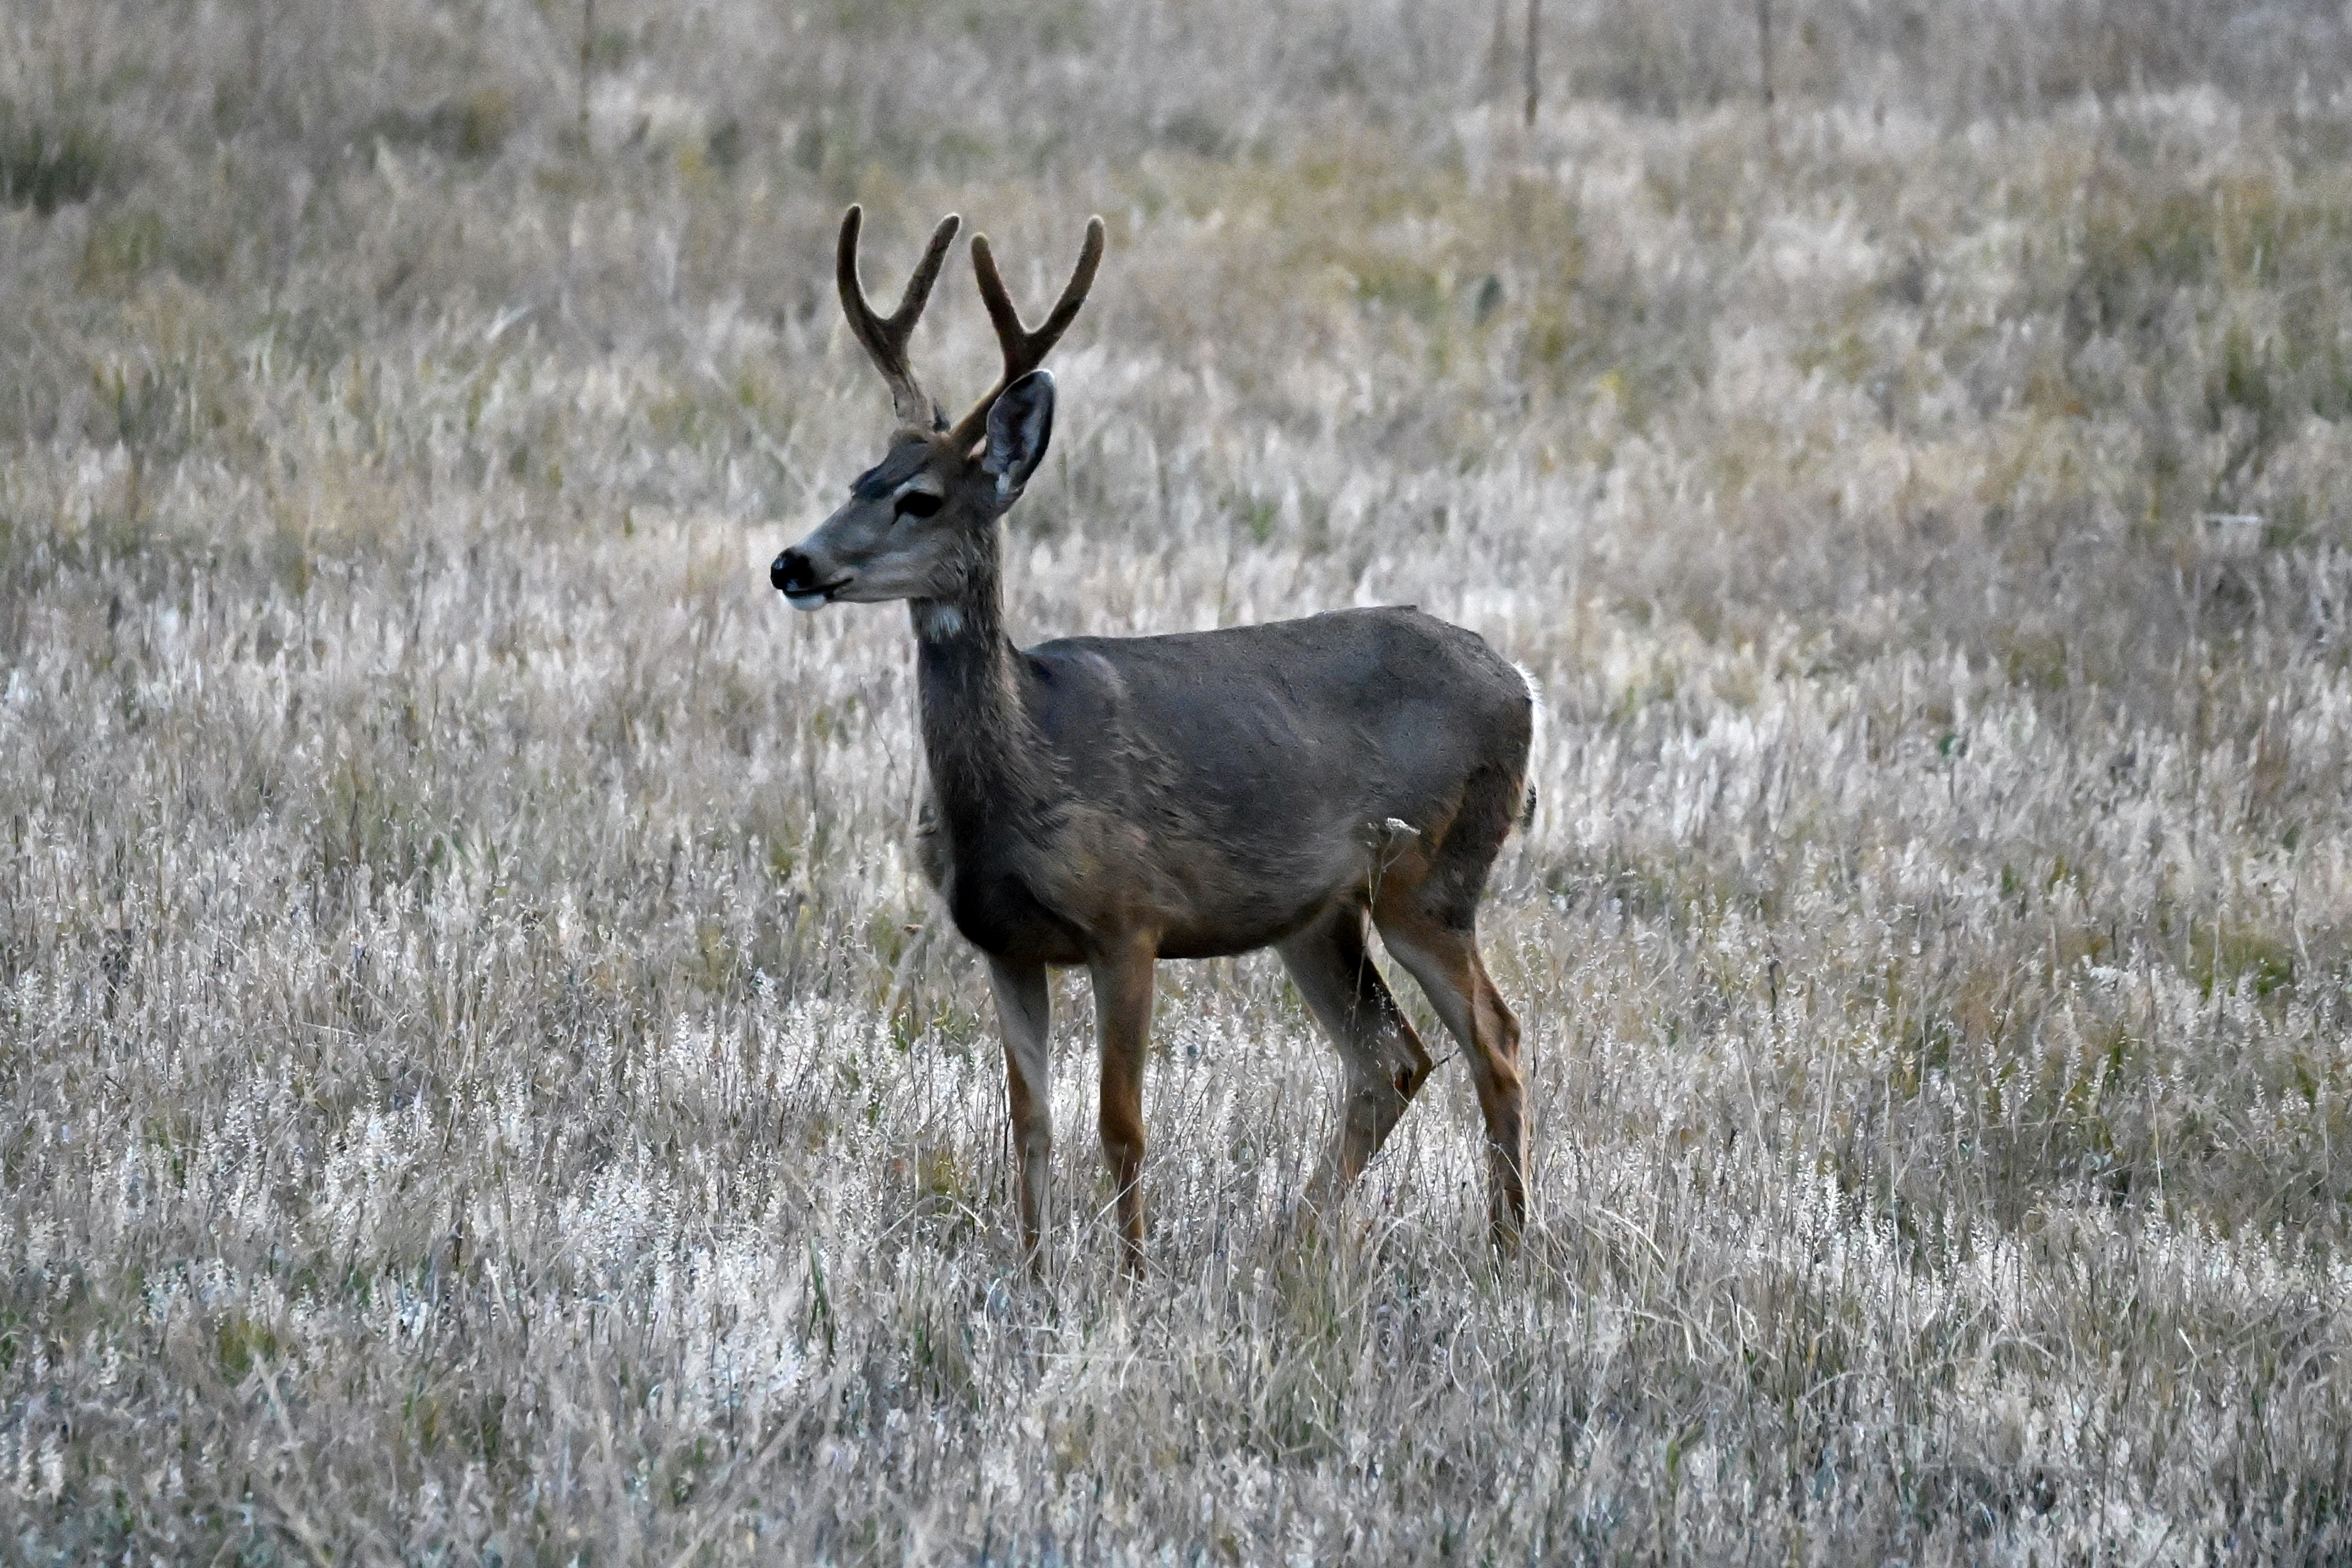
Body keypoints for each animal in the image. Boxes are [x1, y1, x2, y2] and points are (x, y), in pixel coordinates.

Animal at [771, 206, 1534, 1273]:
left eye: (918, 499)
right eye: (858, 479)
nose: (792, 564)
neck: (1017, 778)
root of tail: (1520, 684)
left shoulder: (1130, 920)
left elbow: (1120, 1122)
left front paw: (1132, 1279)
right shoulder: (1003, 942)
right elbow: (1030, 1123)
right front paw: (1036, 1277)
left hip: (1432, 874)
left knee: (1496, 1042)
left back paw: (1508, 1251)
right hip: (1317, 914)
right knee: (1392, 1057)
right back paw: (1292, 1247)